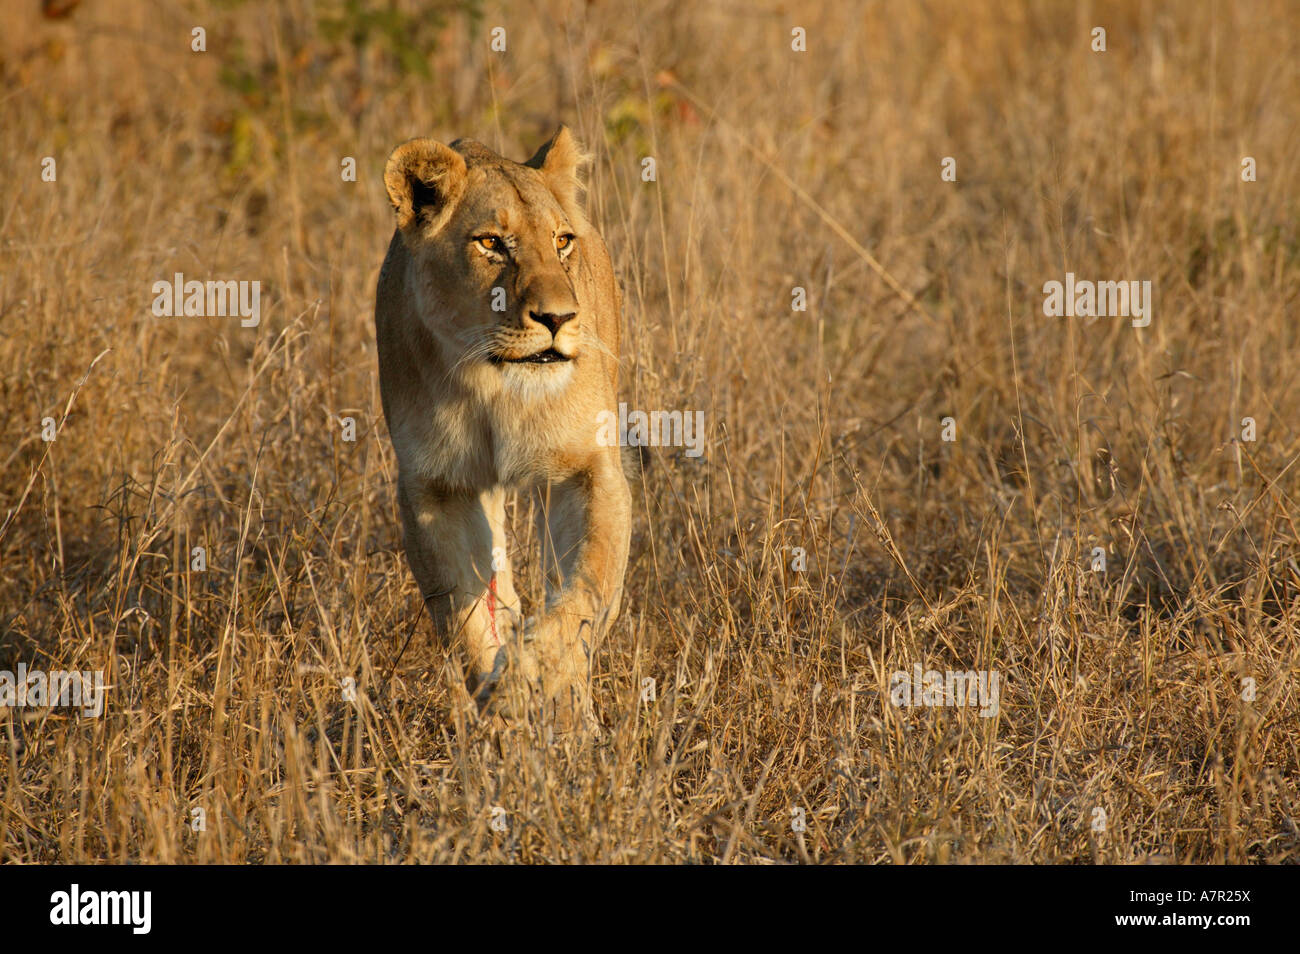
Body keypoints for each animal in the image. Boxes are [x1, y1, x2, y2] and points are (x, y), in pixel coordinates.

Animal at [374, 126, 631, 730]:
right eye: (491, 243)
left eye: (562, 241)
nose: (559, 318)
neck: (496, 384)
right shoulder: (437, 487)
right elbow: (465, 615)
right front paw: (500, 702)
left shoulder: (588, 467)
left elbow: (582, 593)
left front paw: (533, 683)